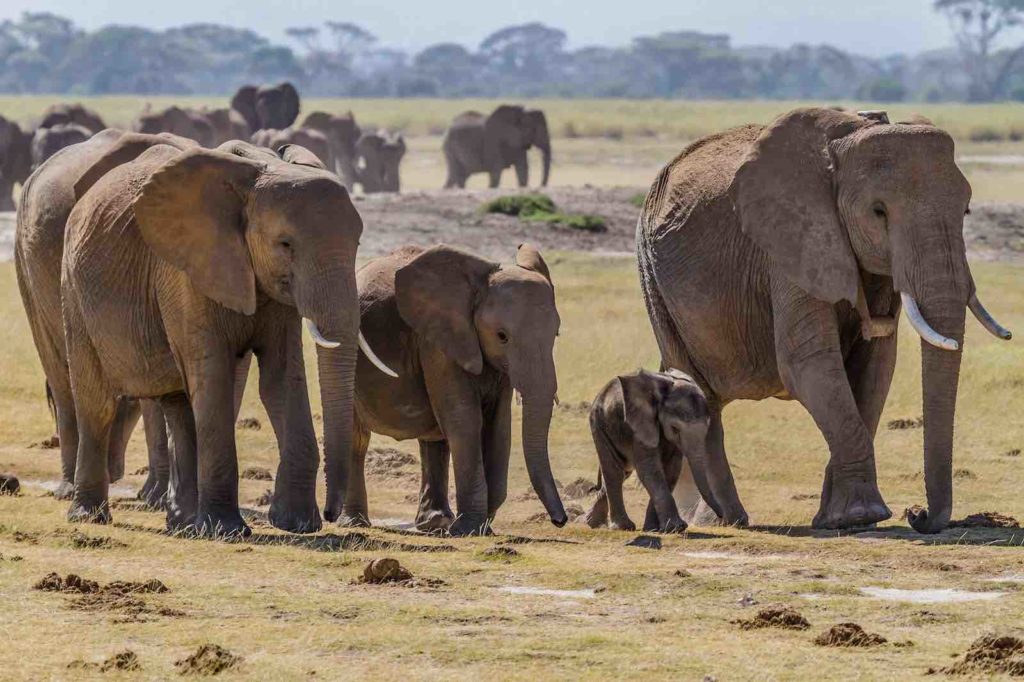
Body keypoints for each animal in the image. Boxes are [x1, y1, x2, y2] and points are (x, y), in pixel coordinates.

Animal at [58, 137, 395, 536]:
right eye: (285, 244)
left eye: (357, 244)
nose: (331, 514)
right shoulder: (185, 271)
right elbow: (213, 374)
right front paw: (227, 530)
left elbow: (282, 379)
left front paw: (297, 523)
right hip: (73, 289)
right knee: (97, 400)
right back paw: (90, 515)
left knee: (178, 402)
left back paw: (182, 524)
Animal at [347, 243, 568, 536]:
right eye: (502, 336)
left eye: (556, 333)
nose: (560, 521)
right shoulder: (438, 342)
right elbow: (464, 419)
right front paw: (469, 529)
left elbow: (498, 426)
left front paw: (481, 528)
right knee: (357, 437)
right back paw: (355, 522)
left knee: (434, 438)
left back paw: (435, 523)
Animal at [585, 369, 720, 534]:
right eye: (675, 429)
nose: (721, 516)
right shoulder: (640, 425)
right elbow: (649, 469)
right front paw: (677, 528)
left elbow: (671, 470)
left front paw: (654, 529)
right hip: (599, 424)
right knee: (614, 471)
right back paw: (623, 527)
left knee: (623, 472)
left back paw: (593, 523)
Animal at [635, 107, 1012, 533]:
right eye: (878, 212)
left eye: (965, 209)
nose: (918, 514)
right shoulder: (791, 241)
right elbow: (809, 363)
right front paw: (862, 516)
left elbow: (875, 367)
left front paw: (839, 519)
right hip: (652, 276)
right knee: (699, 391)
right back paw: (729, 520)